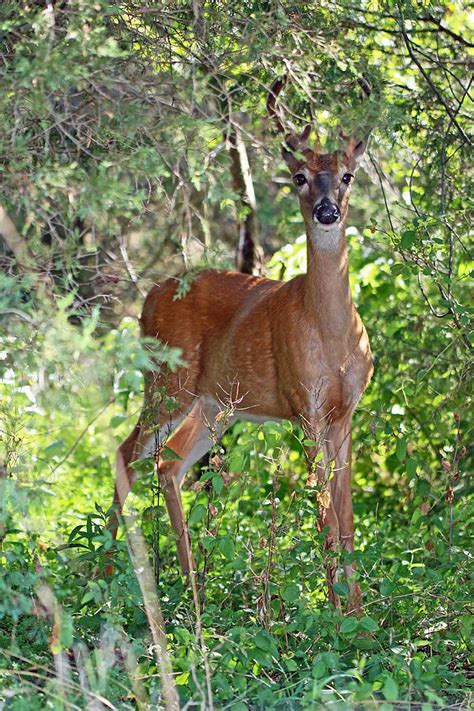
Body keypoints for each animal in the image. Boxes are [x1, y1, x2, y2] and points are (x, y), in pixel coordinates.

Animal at [109, 77, 374, 614]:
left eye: (348, 175)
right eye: (299, 176)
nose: (327, 211)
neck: (332, 337)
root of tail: (150, 295)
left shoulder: (345, 414)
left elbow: (347, 521)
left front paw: (362, 616)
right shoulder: (303, 407)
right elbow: (326, 522)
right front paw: (337, 617)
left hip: (216, 404)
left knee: (169, 462)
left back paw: (191, 590)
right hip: (167, 381)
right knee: (127, 454)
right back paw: (107, 582)